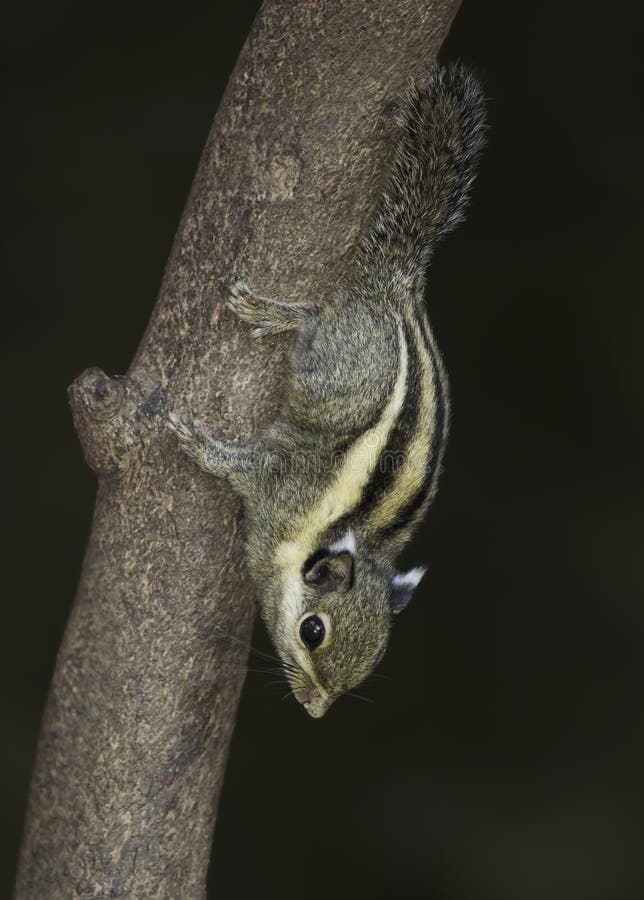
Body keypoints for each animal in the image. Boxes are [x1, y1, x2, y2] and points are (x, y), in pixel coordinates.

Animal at [169, 63, 486, 718]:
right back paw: (277, 314)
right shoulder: (281, 479)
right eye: (312, 631)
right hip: (334, 364)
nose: (316, 711)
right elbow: (241, 465)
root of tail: (397, 287)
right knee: (315, 320)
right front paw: (201, 446)